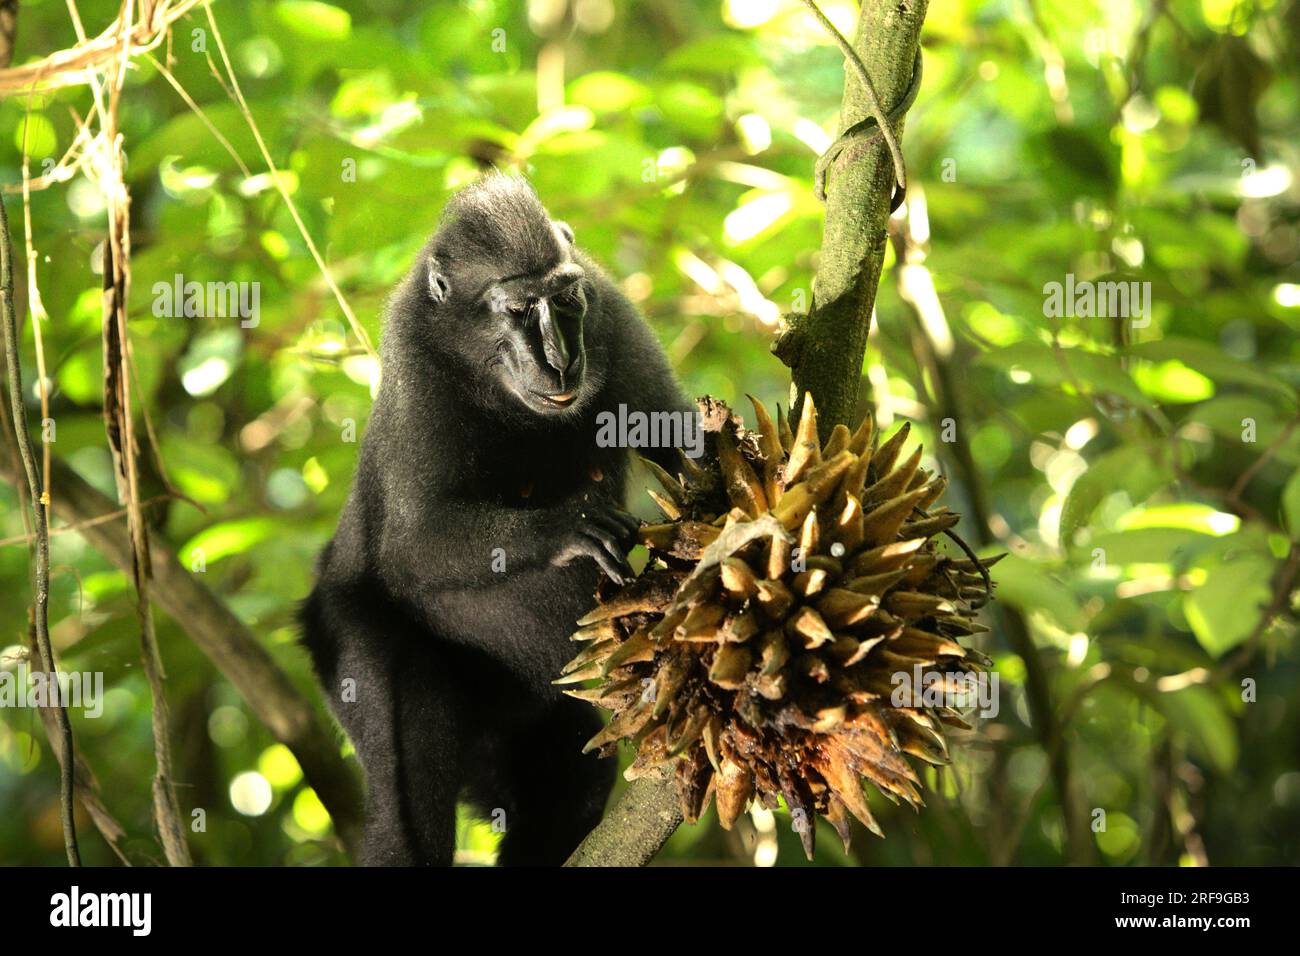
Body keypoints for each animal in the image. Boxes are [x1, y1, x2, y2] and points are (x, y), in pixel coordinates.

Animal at [300, 174, 691, 866]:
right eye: (517, 310)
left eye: (564, 301)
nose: (561, 359)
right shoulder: (416, 364)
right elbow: (411, 546)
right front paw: (565, 528)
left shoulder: (609, 312)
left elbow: (682, 444)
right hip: (344, 638)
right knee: (408, 809)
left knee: (572, 770)